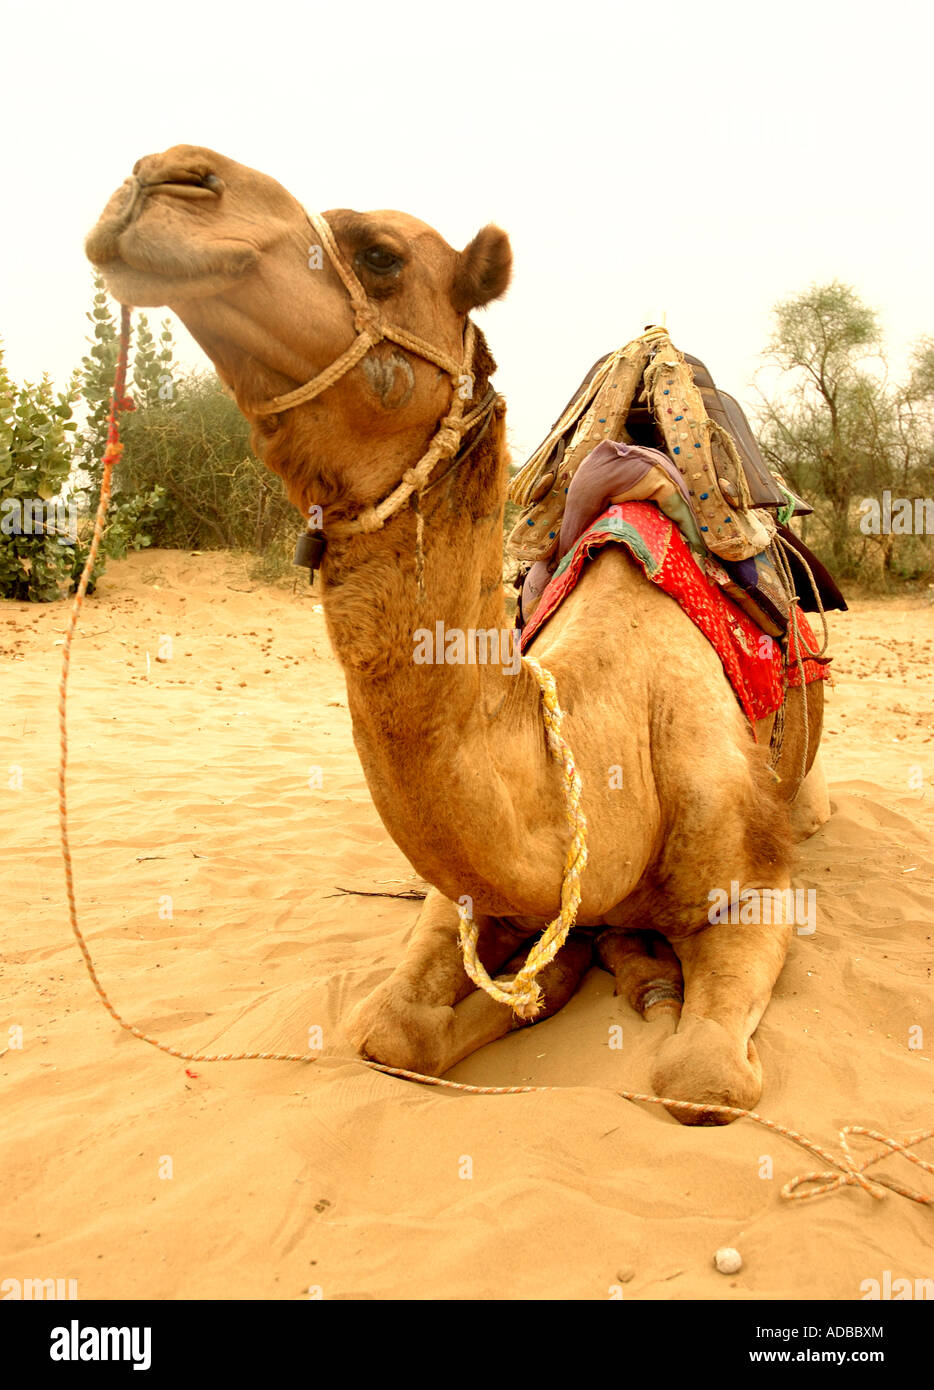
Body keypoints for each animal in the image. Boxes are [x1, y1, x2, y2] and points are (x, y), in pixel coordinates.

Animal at [86, 145, 832, 1123]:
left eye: (381, 255)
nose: (163, 174)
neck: (607, 748)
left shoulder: (753, 885)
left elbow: (701, 1079)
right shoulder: (467, 895)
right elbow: (391, 1031)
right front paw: (557, 976)